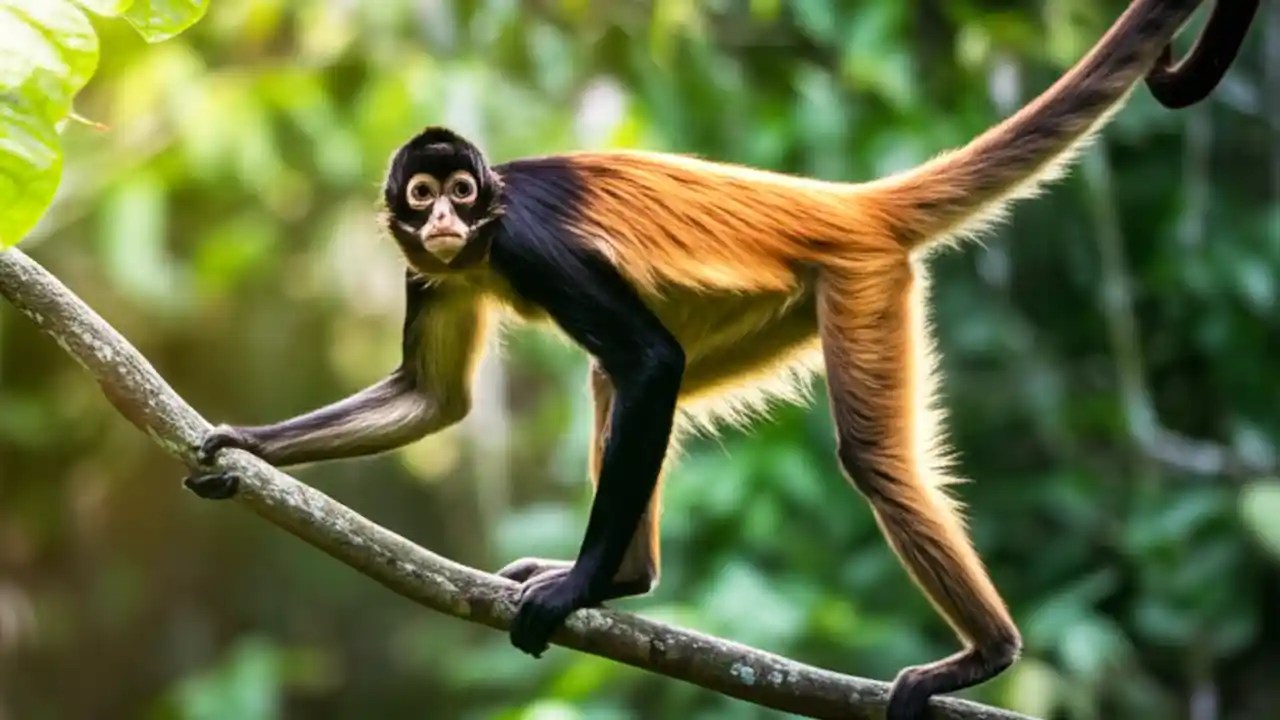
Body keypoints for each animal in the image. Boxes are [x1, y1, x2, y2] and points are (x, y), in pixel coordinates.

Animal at [184, 1, 1253, 717]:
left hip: (859, 283)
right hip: (789, 308)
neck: (482, 243)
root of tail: (846, 204)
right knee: (608, 378)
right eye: (421, 195)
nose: (444, 219)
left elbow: (650, 361)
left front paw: (578, 587)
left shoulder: (527, 242)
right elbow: (433, 401)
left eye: (461, 191)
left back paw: (983, 654)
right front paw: (245, 450)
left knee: (842, 445)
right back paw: (632, 582)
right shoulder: (431, 274)